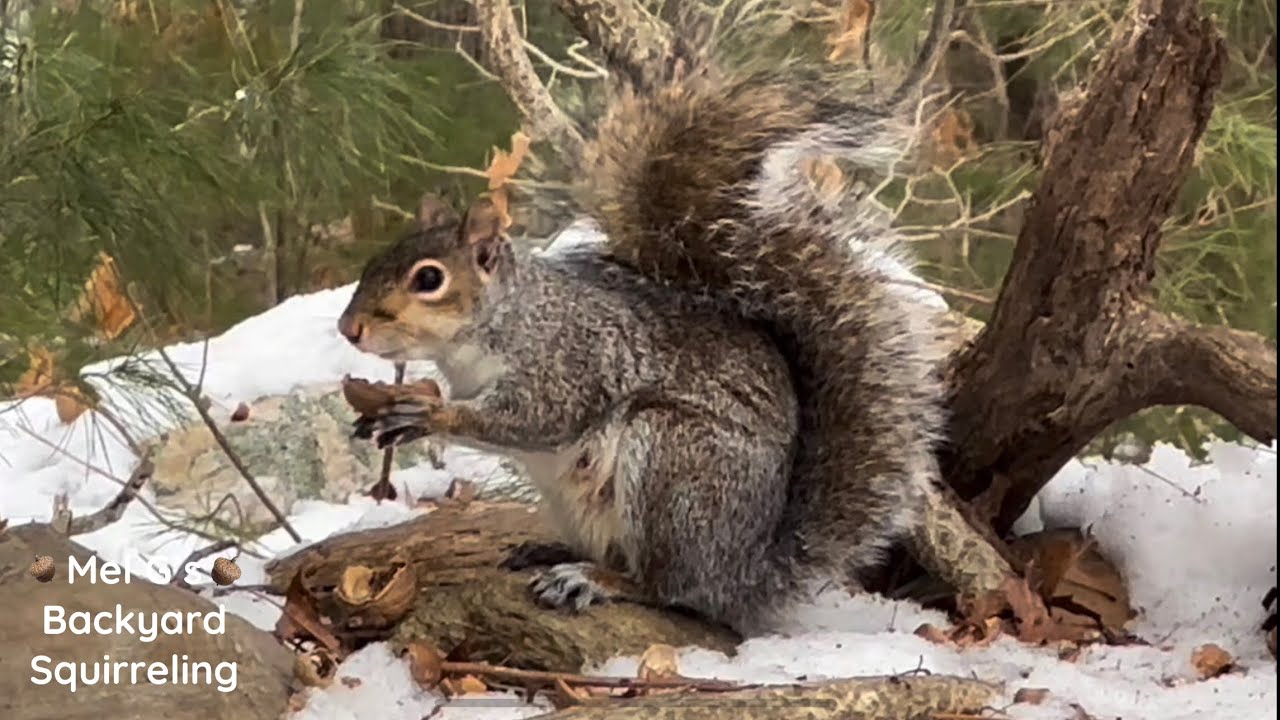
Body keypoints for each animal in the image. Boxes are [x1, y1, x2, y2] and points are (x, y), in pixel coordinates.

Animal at [337, 31, 952, 634]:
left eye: (429, 279)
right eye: (377, 260)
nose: (349, 328)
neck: (502, 321)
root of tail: (743, 574)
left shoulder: (568, 359)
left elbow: (535, 419)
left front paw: (428, 414)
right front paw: (384, 417)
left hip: (672, 465)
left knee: (668, 587)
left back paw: (593, 580)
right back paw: (553, 553)